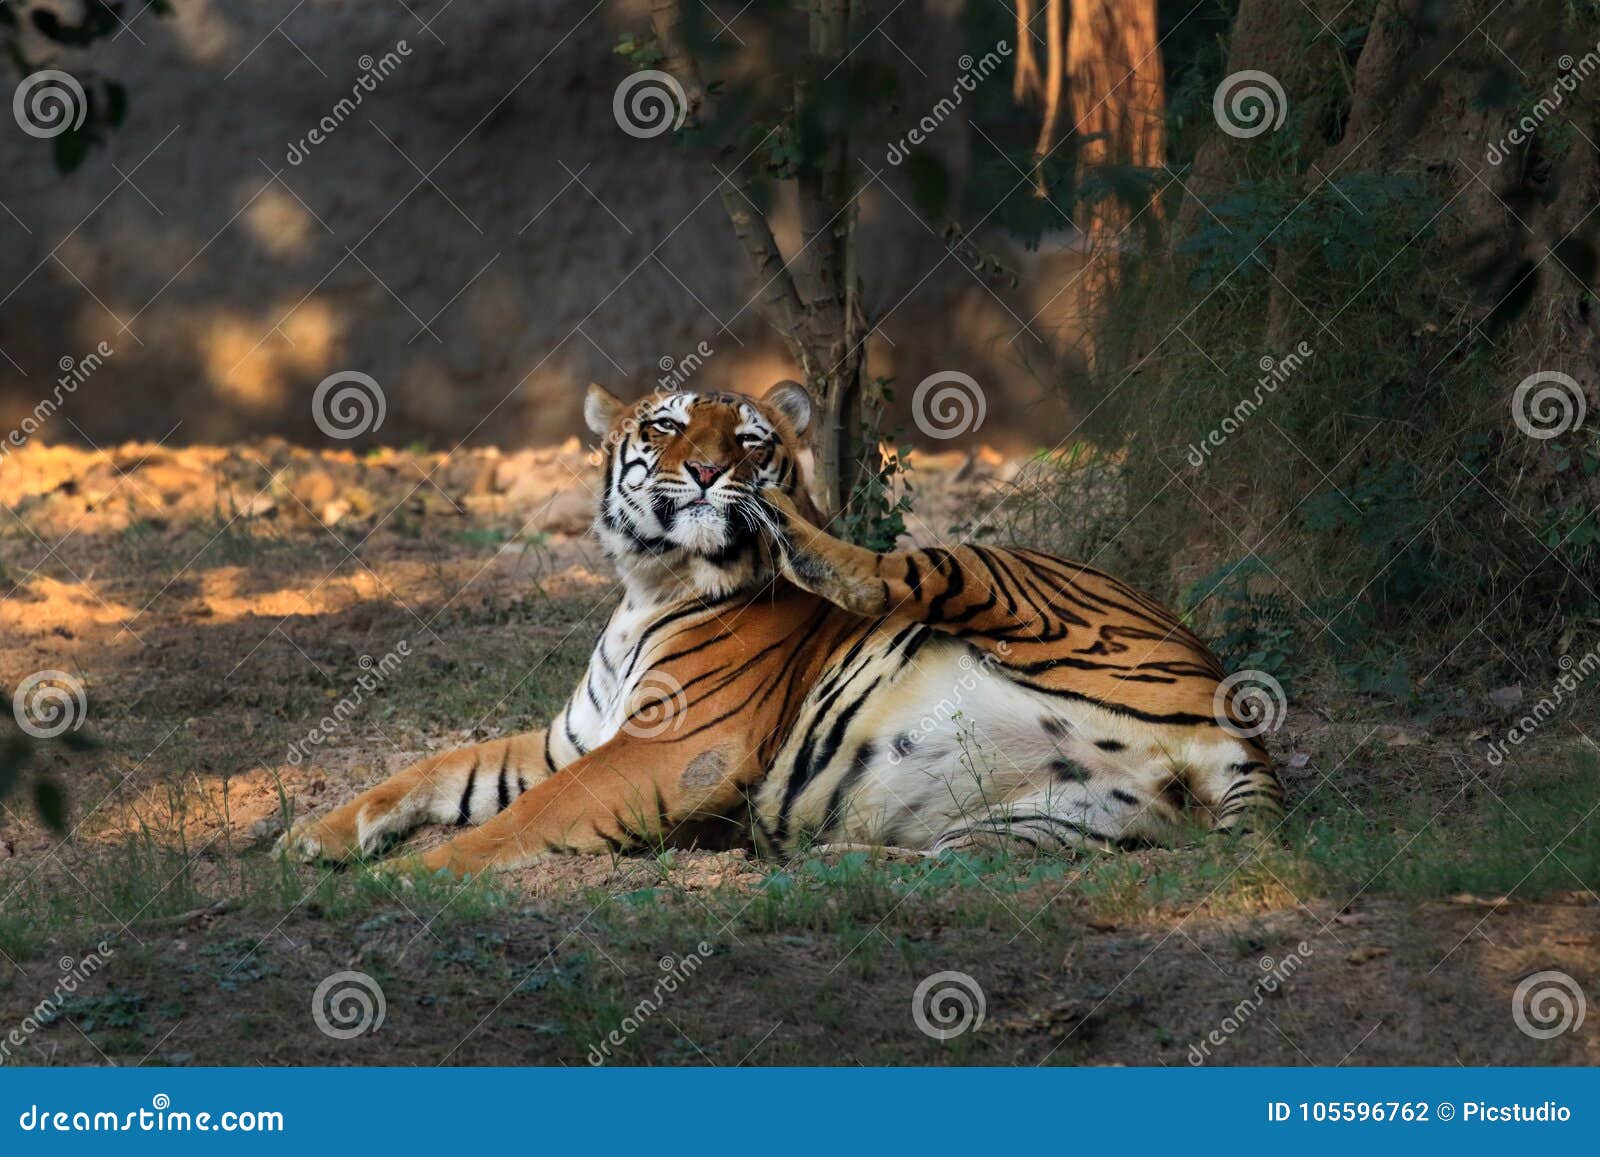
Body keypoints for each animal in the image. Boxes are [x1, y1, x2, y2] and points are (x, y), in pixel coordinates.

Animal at [278, 380, 1284, 875]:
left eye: (752, 438)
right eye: (668, 426)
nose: (716, 471)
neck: (648, 582)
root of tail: (1240, 720)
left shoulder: (678, 744)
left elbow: (528, 813)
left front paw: (415, 876)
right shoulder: (576, 738)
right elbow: (430, 769)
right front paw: (313, 840)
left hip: (1008, 573)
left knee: (892, 570)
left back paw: (798, 534)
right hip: (1051, 822)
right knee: (955, 867)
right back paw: (828, 860)